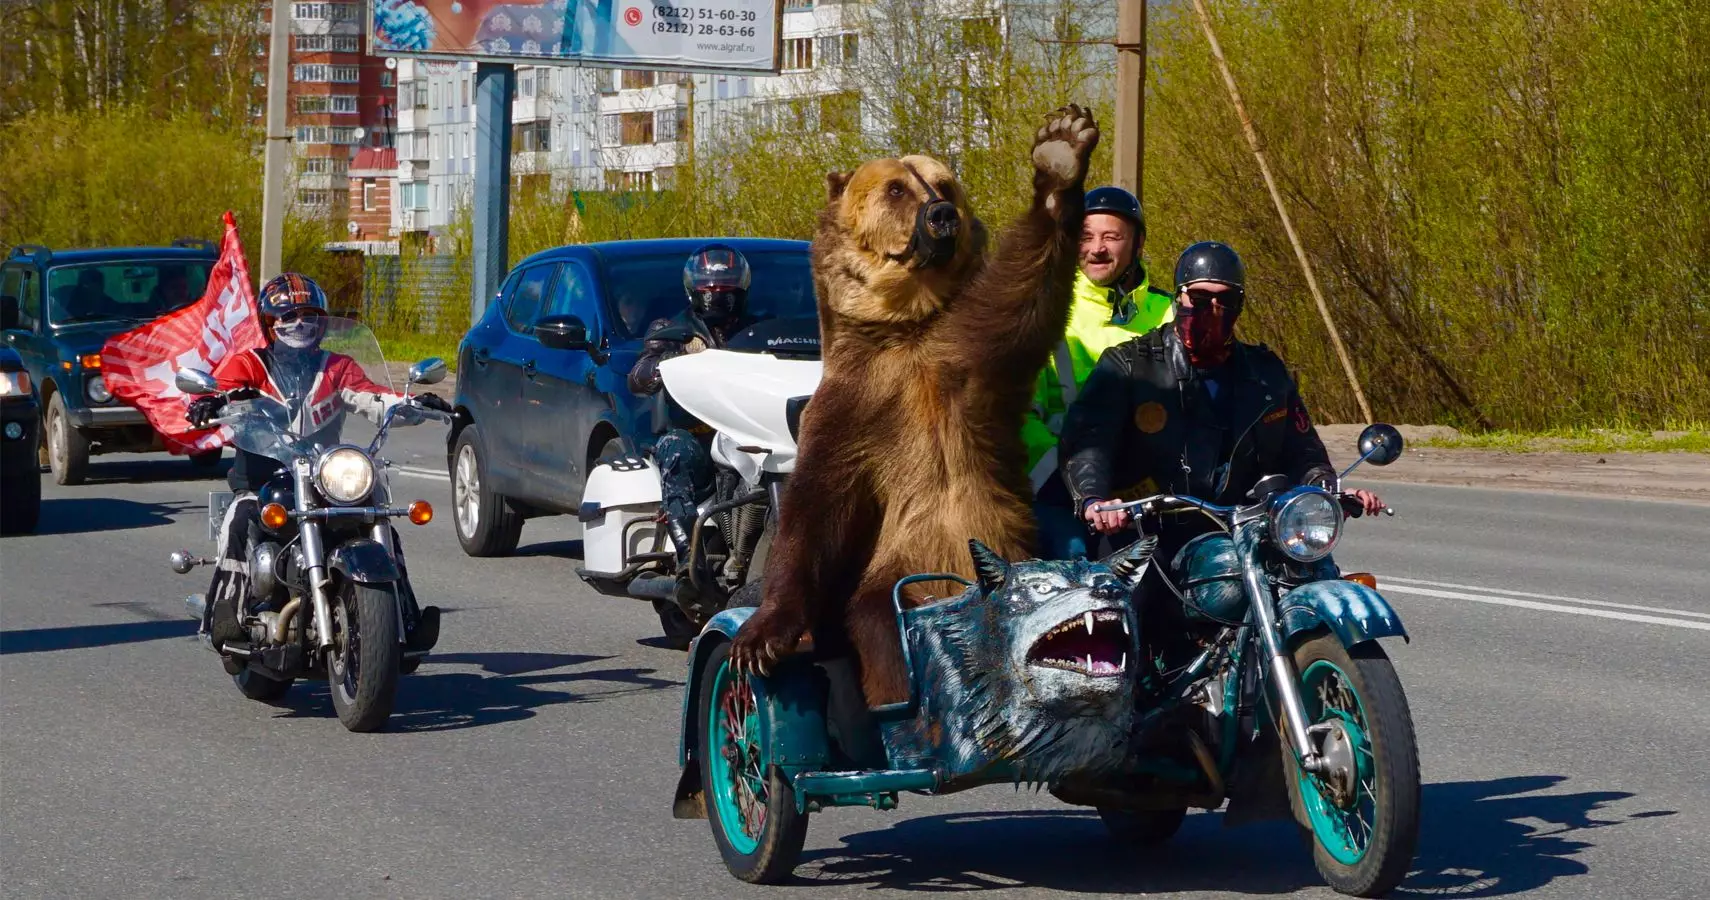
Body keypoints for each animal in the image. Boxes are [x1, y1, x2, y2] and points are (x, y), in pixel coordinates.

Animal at [728, 107, 1101, 711]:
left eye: (943, 184)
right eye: (897, 188)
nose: (942, 214)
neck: (905, 328)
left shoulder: (969, 361)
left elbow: (1024, 289)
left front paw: (1060, 152)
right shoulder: (853, 410)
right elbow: (813, 512)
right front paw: (760, 637)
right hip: (900, 567)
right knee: (878, 622)